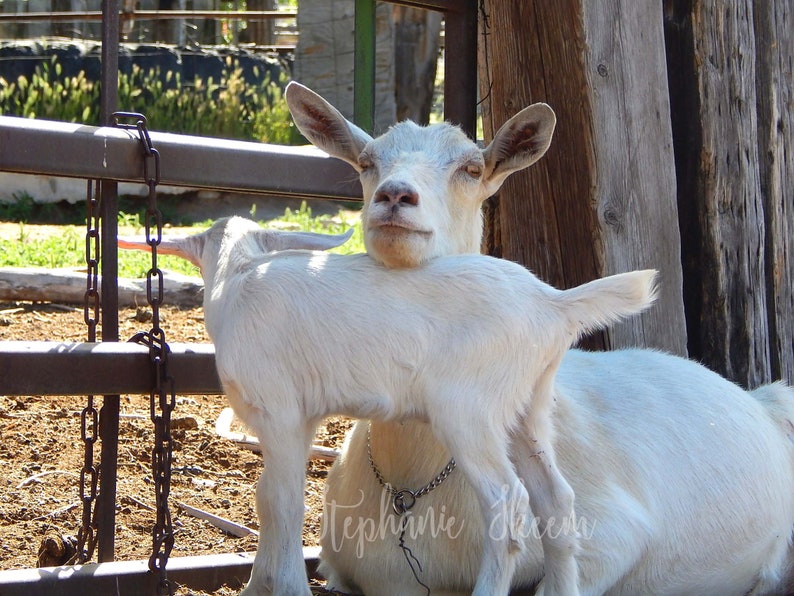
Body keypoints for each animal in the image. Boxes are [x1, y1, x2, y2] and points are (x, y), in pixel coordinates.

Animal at [119, 216, 657, 595]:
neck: (237, 280)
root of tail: (552, 305)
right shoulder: (301, 419)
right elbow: (267, 498)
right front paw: (256, 587)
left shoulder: (280, 412)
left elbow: (284, 501)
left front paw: (287, 587)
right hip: (529, 405)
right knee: (555, 499)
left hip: (470, 409)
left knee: (507, 502)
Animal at [286, 82, 794, 595]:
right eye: (367, 162)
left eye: (472, 168)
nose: (395, 195)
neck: (412, 476)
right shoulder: (346, 568)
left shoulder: (612, 537)